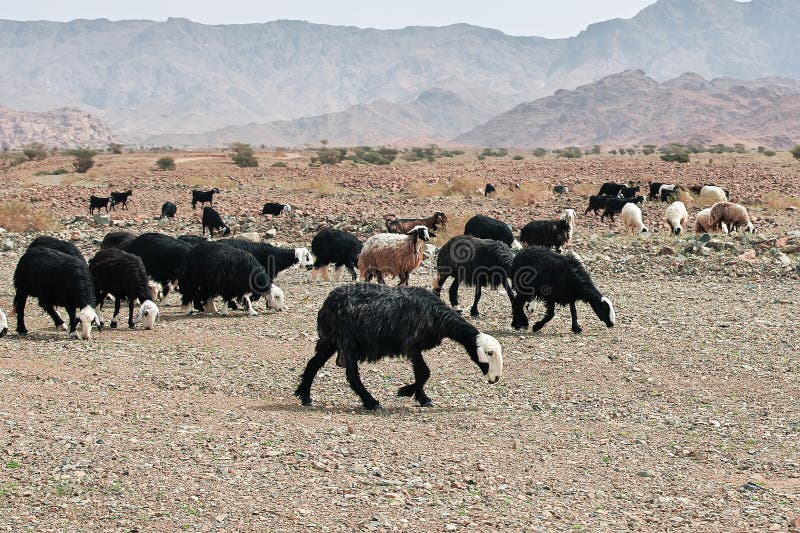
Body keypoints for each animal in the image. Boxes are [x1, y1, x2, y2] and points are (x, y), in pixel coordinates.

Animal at [294, 284, 503, 410]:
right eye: (489, 353)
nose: (496, 379)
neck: (436, 317)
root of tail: (328, 302)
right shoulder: (411, 344)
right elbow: (424, 373)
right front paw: (405, 392)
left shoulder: (415, 348)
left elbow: (421, 373)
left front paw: (422, 398)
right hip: (347, 341)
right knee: (352, 375)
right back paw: (371, 402)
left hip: (330, 339)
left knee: (313, 363)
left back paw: (304, 396)